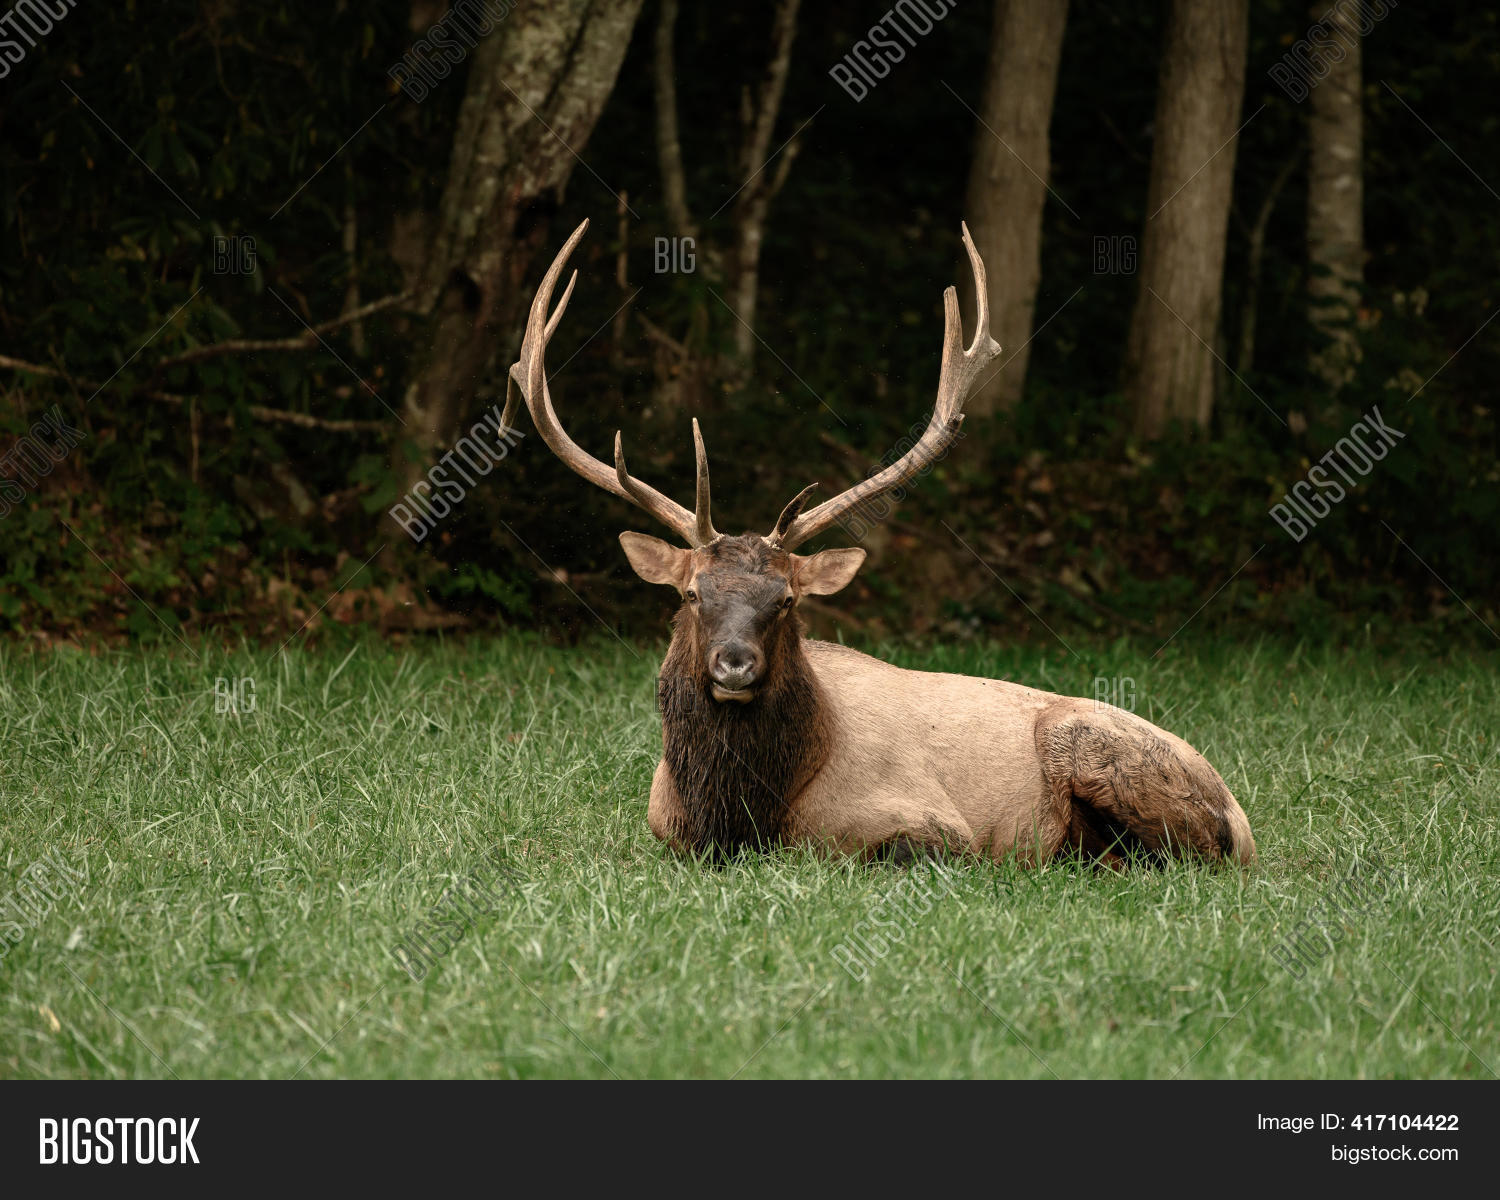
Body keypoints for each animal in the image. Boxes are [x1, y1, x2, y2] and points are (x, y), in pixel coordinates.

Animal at [501, 219, 1257, 868]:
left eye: (786, 601)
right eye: (690, 594)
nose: (735, 665)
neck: (741, 817)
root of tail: (1242, 819)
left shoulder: (931, 824)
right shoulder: (665, 828)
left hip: (1100, 751)